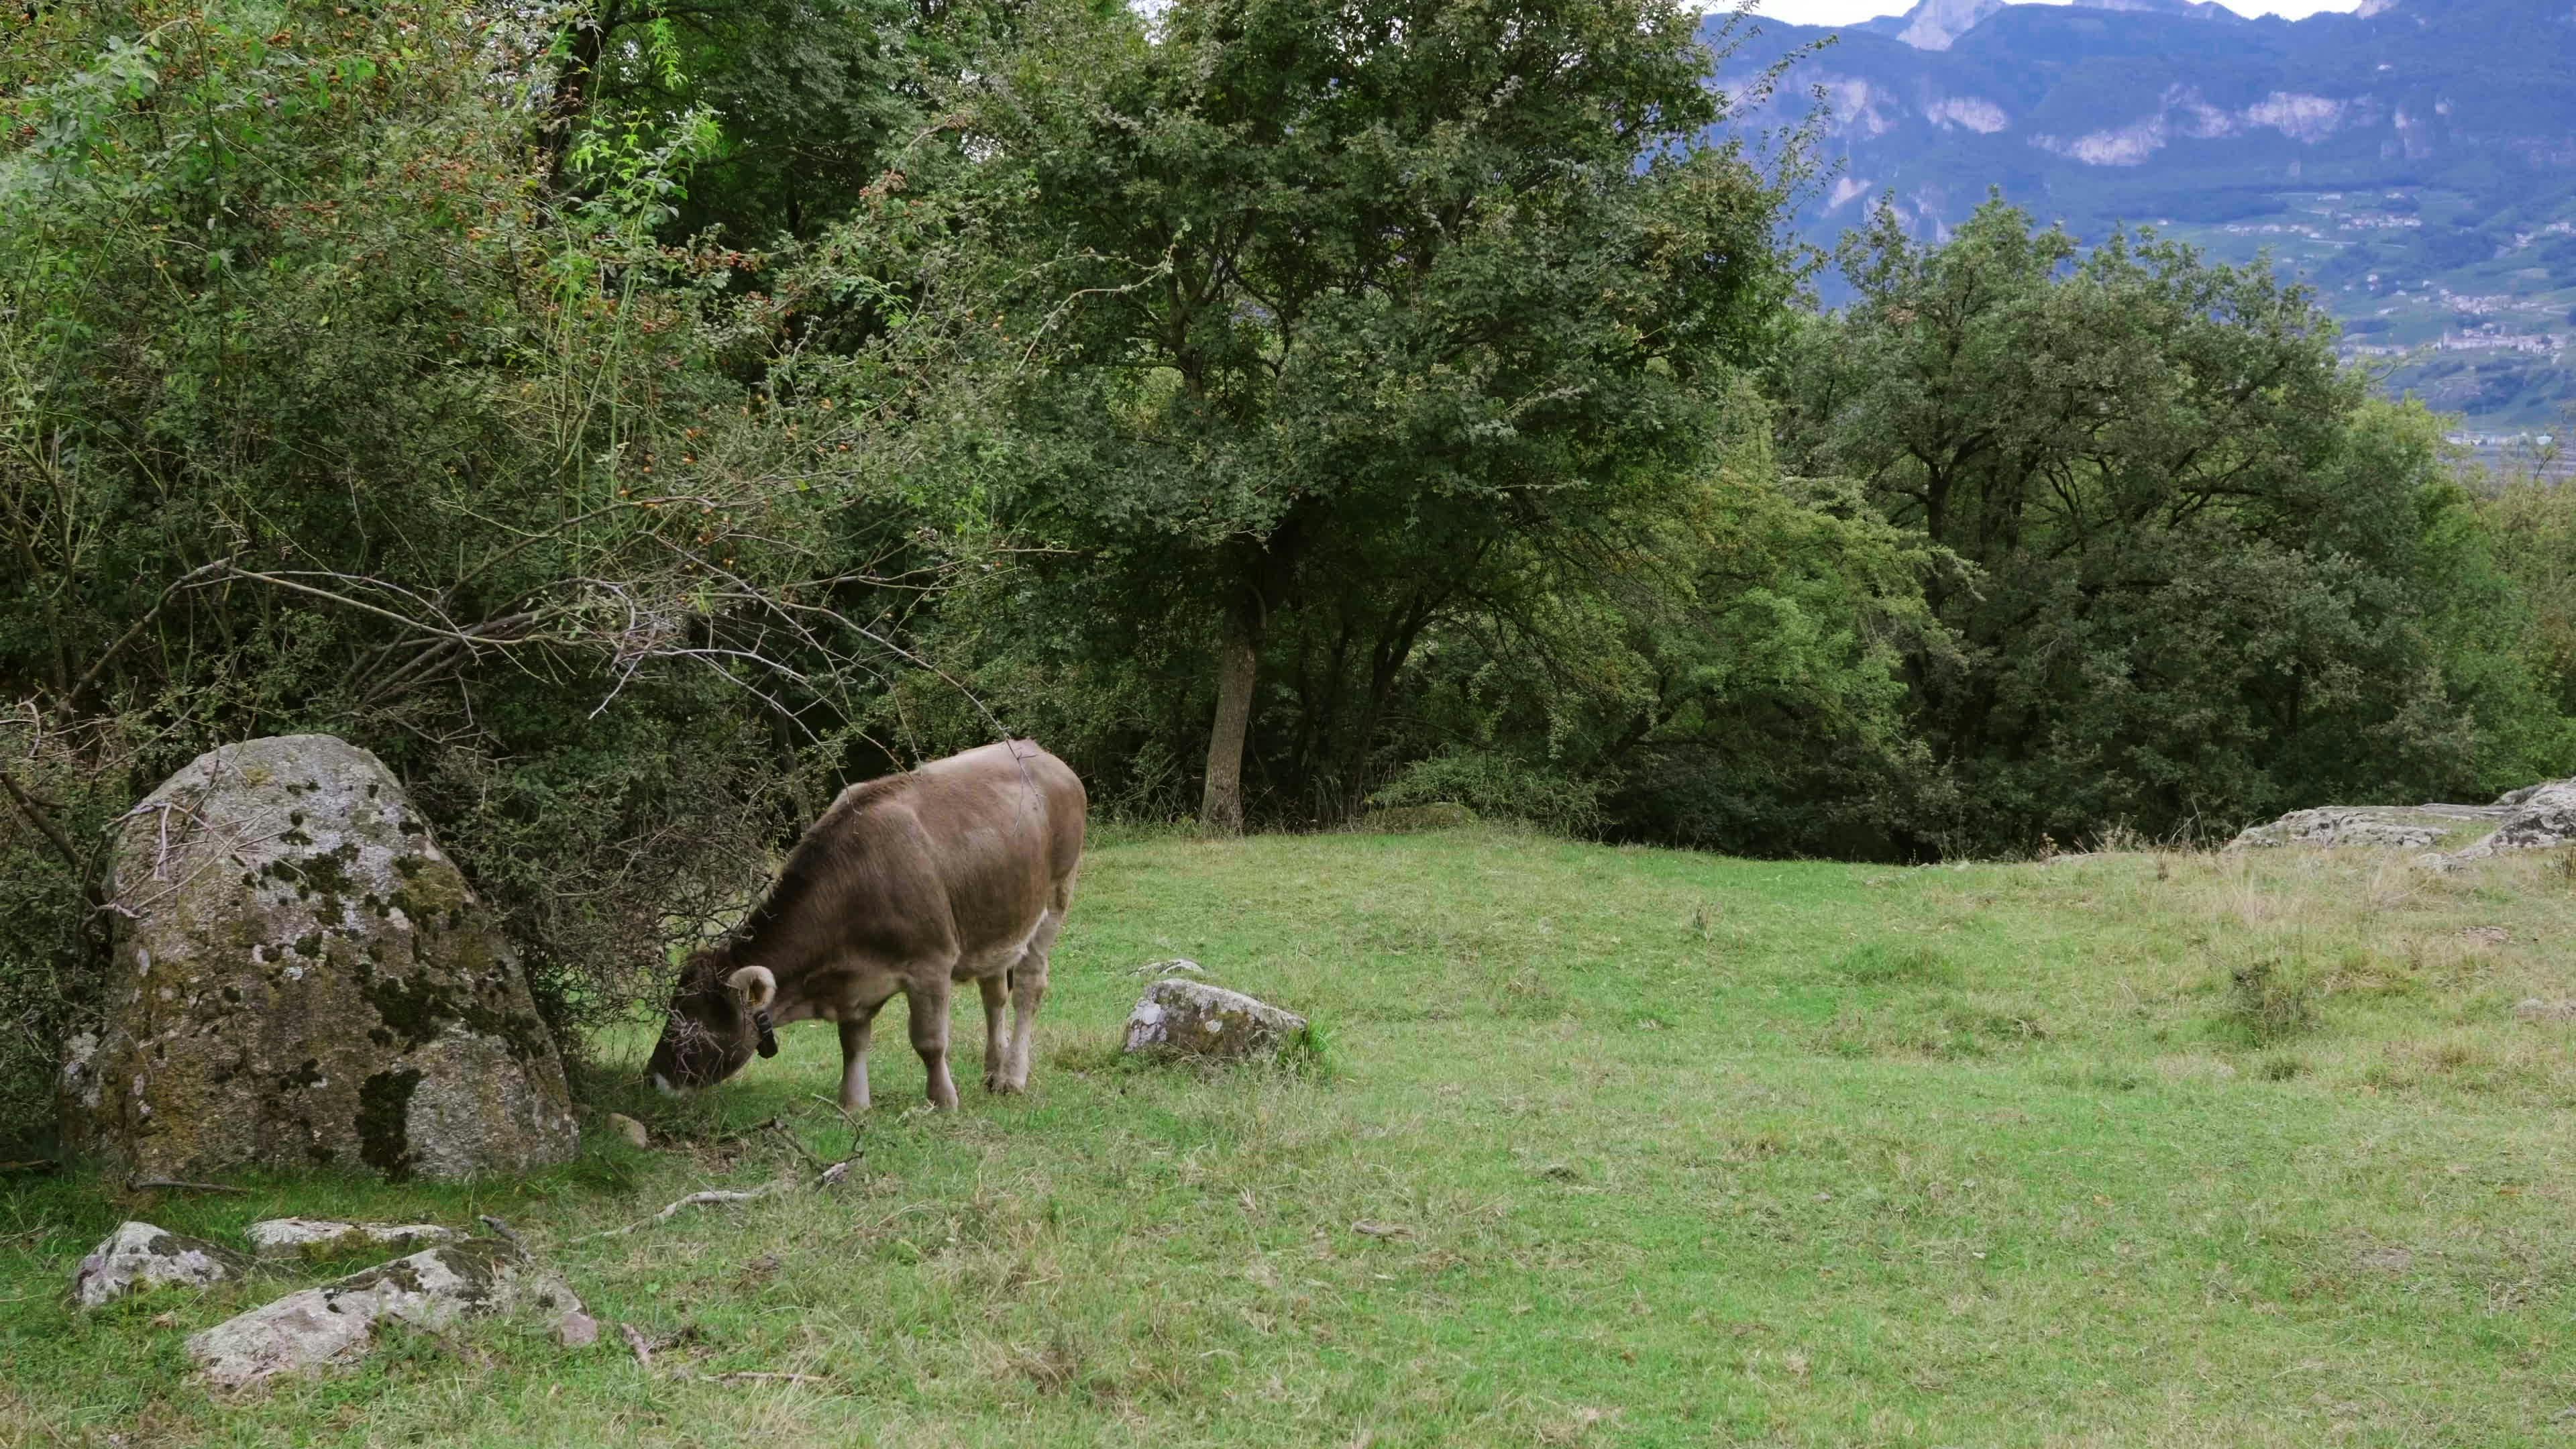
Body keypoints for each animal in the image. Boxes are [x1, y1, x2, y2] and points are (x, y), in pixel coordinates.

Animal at [645, 740, 1084, 1111]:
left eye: (692, 1022)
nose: (653, 1078)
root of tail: (1040, 752)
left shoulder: (931, 964)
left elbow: (929, 1042)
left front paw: (942, 1100)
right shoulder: (852, 981)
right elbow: (852, 1042)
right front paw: (853, 1103)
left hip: (1056, 897)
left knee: (1028, 987)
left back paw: (1012, 1076)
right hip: (997, 919)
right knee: (994, 994)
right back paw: (994, 1069)